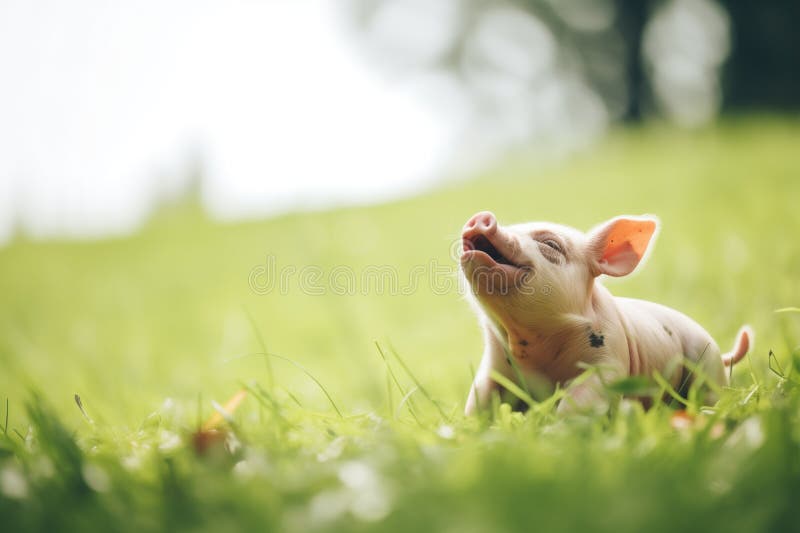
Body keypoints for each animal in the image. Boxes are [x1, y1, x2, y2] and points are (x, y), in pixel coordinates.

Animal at [459, 211, 752, 415]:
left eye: (551, 244)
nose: (481, 216)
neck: (533, 352)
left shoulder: (609, 360)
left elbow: (577, 402)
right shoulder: (492, 368)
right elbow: (477, 401)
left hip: (706, 366)